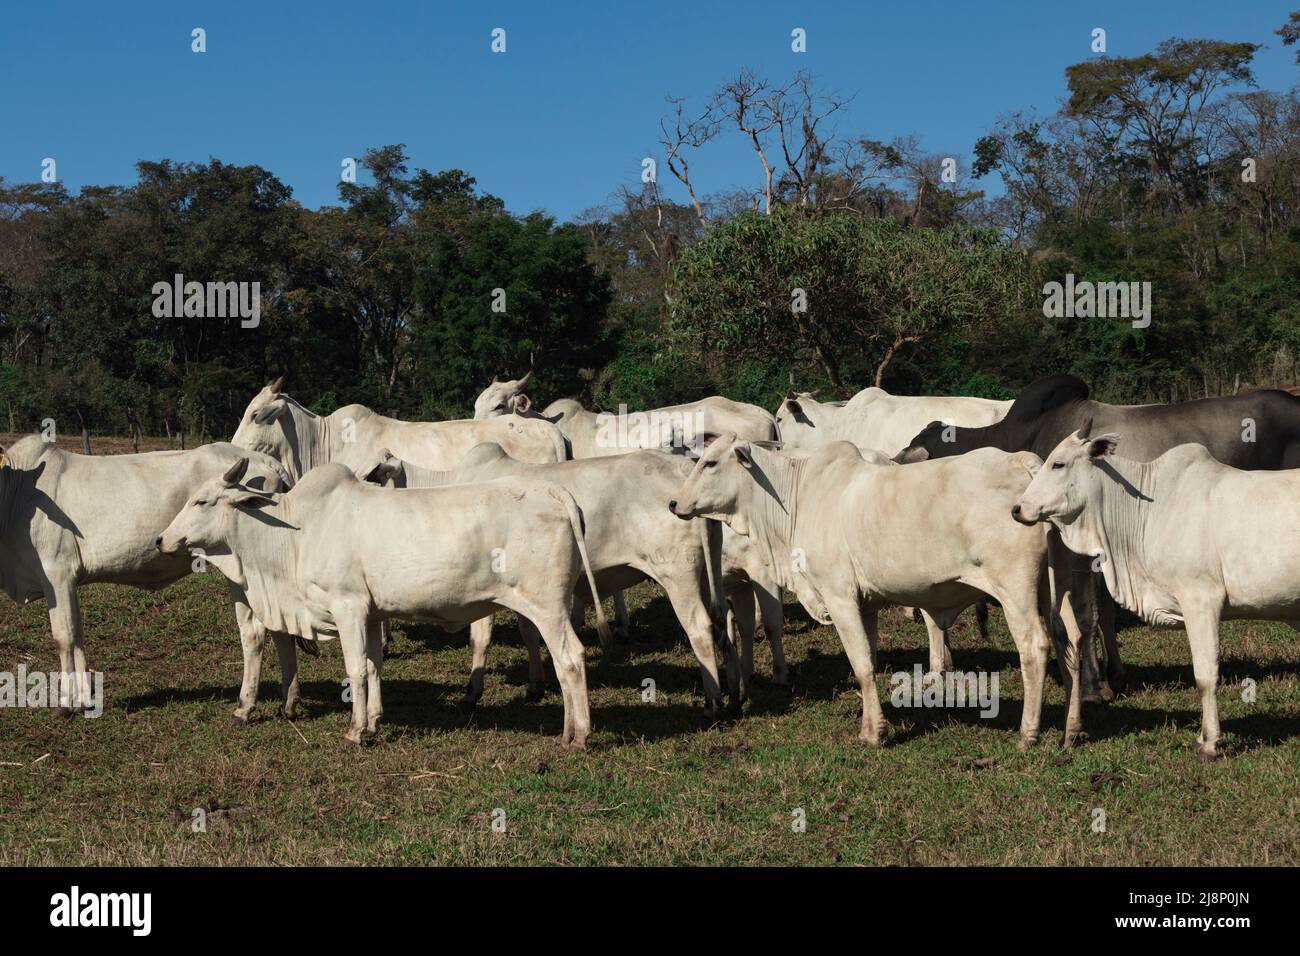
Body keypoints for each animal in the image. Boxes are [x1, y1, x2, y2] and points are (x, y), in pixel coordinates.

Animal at [0, 436, 293, 720]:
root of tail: (267, 462)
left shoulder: (57, 573)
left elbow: (64, 638)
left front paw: (65, 704)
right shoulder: (69, 582)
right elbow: (78, 635)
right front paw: (84, 701)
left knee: (253, 631)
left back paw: (245, 707)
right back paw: (288, 702)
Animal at [156, 458, 608, 748]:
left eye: (201, 501)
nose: (161, 539)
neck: (295, 532)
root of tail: (553, 492)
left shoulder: (348, 606)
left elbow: (355, 669)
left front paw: (355, 731)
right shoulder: (372, 614)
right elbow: (374, 666)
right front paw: (373, 721)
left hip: (547, 606)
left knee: (571, 658)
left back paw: (579, 736)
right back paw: (566, 731)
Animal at [356, 443, 787, 715]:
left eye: (371, 472)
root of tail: (685, 481)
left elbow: (480, 639)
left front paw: (471, 693)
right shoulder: (524, 592)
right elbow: (530, 634)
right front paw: (534, 685)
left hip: (678, 576)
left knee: (700, 628)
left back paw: (713, 703)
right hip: (708, 576)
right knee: (724, 628)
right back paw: (735, 697)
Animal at [668, 434, 1073, 750]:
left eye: (710, 462)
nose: (674, 503)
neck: (795, 498)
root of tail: (1022, 463)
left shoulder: (839, 597)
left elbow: (860, 664)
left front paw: (874, 734)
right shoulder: (867, 605)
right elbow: (871, 661)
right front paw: (871, 724)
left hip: (1016, 590)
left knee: (1035, 646)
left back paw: (1028, 733)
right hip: (1055, 590)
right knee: (1070, 641)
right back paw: (1073, 727)